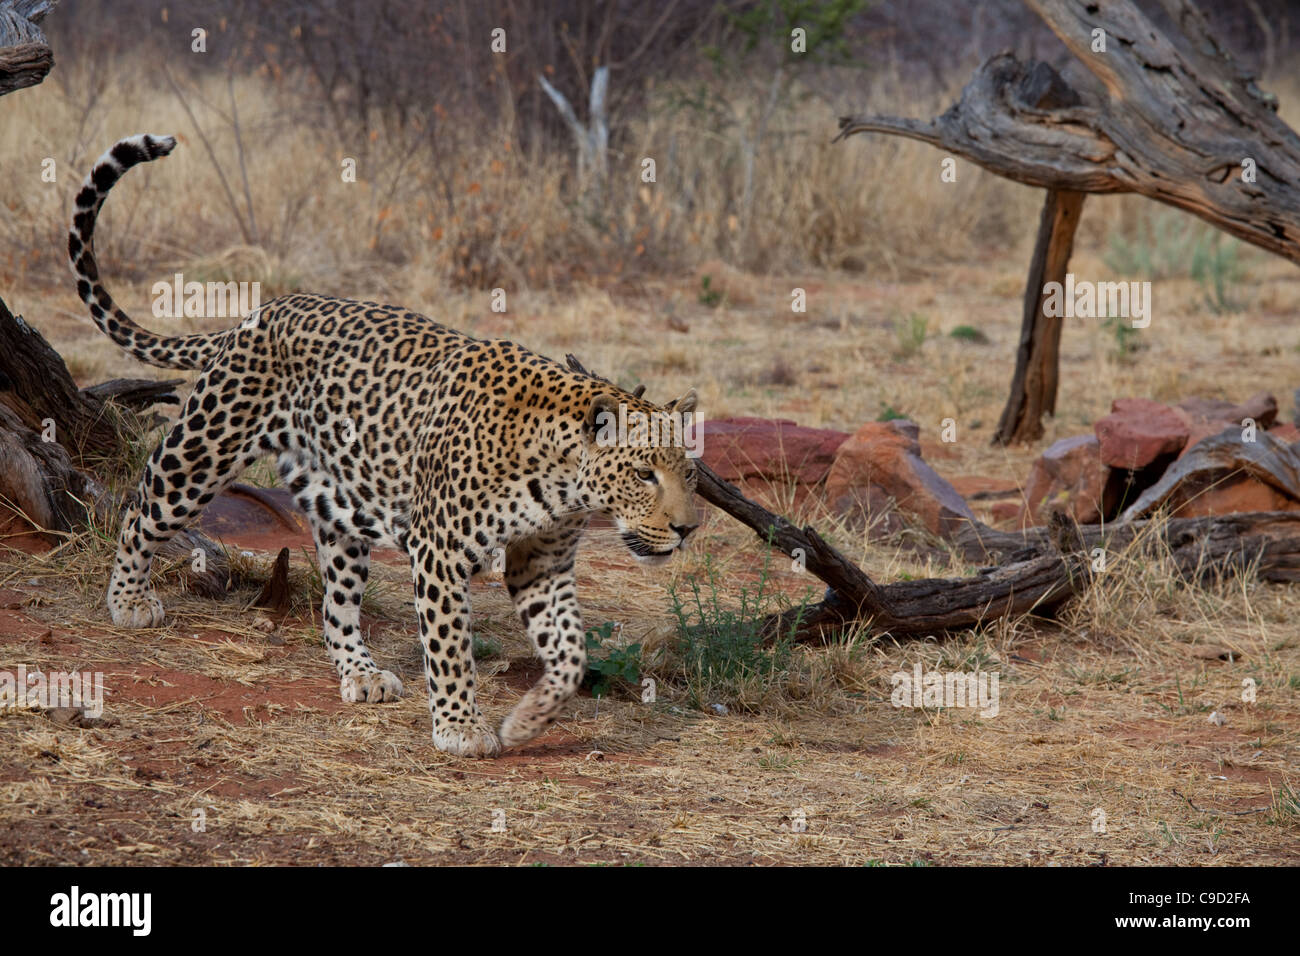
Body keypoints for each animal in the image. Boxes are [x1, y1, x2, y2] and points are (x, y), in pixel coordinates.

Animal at [68, 133, 700, 757]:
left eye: (689, 475)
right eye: (644, 474)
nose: (688, 528)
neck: (565, 482)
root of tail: (259, 311)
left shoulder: (542, 563)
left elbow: (571, 652)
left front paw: (525, 721)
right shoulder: (440, 549)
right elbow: (451, 645)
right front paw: (461, 727)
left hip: (337, 501)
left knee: (336, 604)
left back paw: (361, 672)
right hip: (205, 449)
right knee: (141, 509)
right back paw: (128, 600)